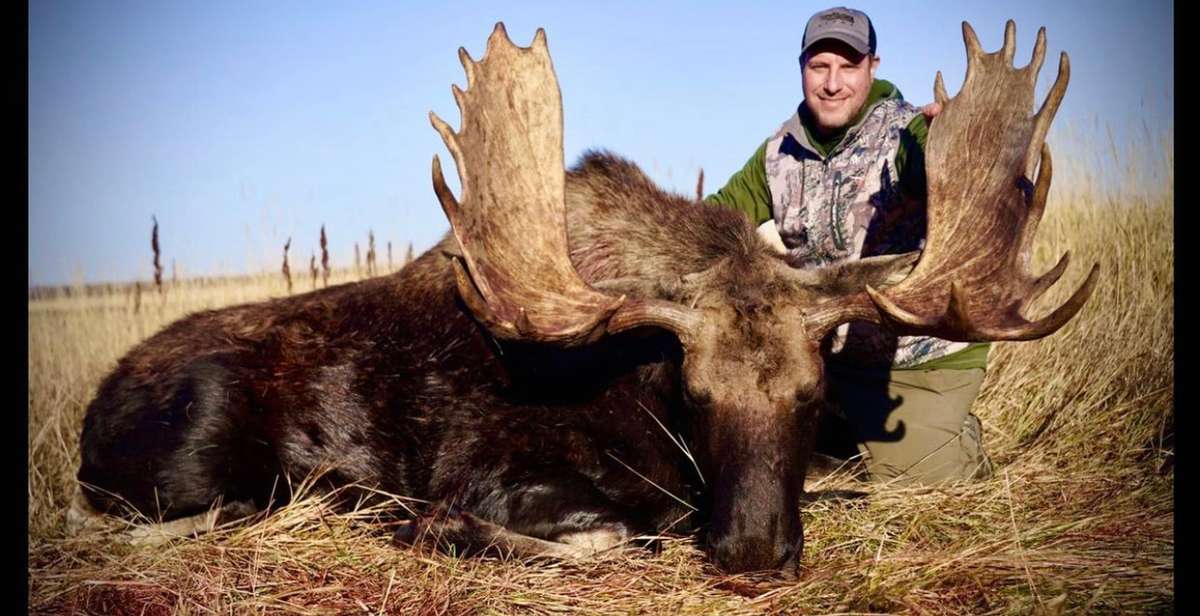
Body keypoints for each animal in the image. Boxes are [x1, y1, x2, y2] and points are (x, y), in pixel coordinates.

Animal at [74, 21, 1096, 576]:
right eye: (696, 395)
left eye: (811, 398)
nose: (752, 553)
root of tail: (89, 416)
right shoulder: (496, 471)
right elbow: (615, 530)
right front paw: (431, 523)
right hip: (196, 452)